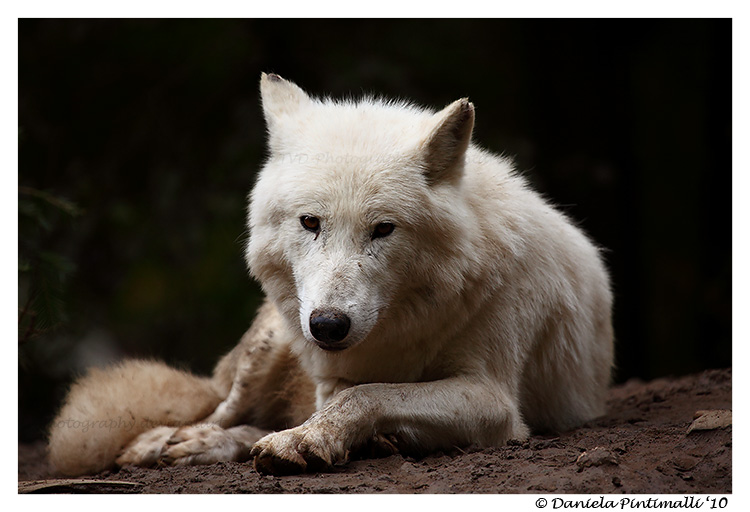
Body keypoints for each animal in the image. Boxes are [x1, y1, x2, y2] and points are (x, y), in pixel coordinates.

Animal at [47, 73, 614, 477]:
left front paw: (313, 440)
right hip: (268, 343)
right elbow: (344, 396)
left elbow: (366, 395)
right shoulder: (327, 373)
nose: (327, 326)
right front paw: (314, 438)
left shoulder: (495, 400)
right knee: (219, 410)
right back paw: (171, 442)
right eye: (310, 222)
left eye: (383, 229)